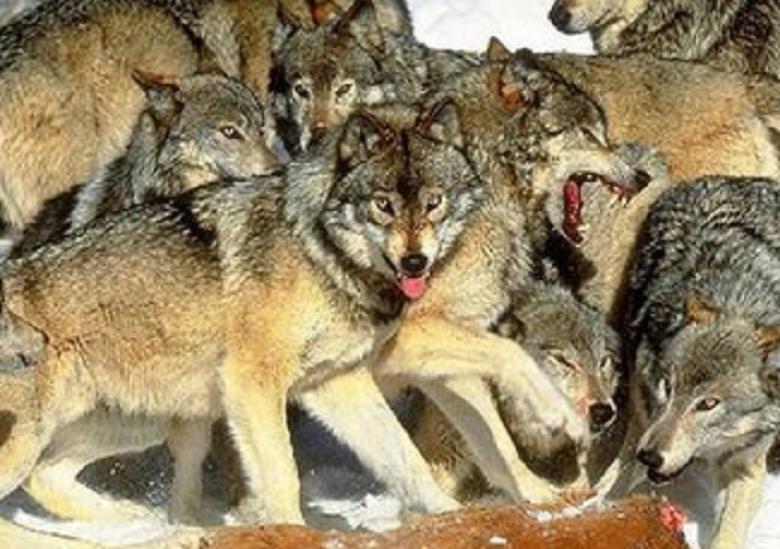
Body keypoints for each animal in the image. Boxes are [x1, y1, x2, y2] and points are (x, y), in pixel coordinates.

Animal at [605, 177, 780, 549]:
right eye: (666, 386)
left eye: (708, 404)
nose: (650, 456)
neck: (734, 302)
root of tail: (729, 180)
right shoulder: (642, 424)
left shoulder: (745, 465)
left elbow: (728, 534)